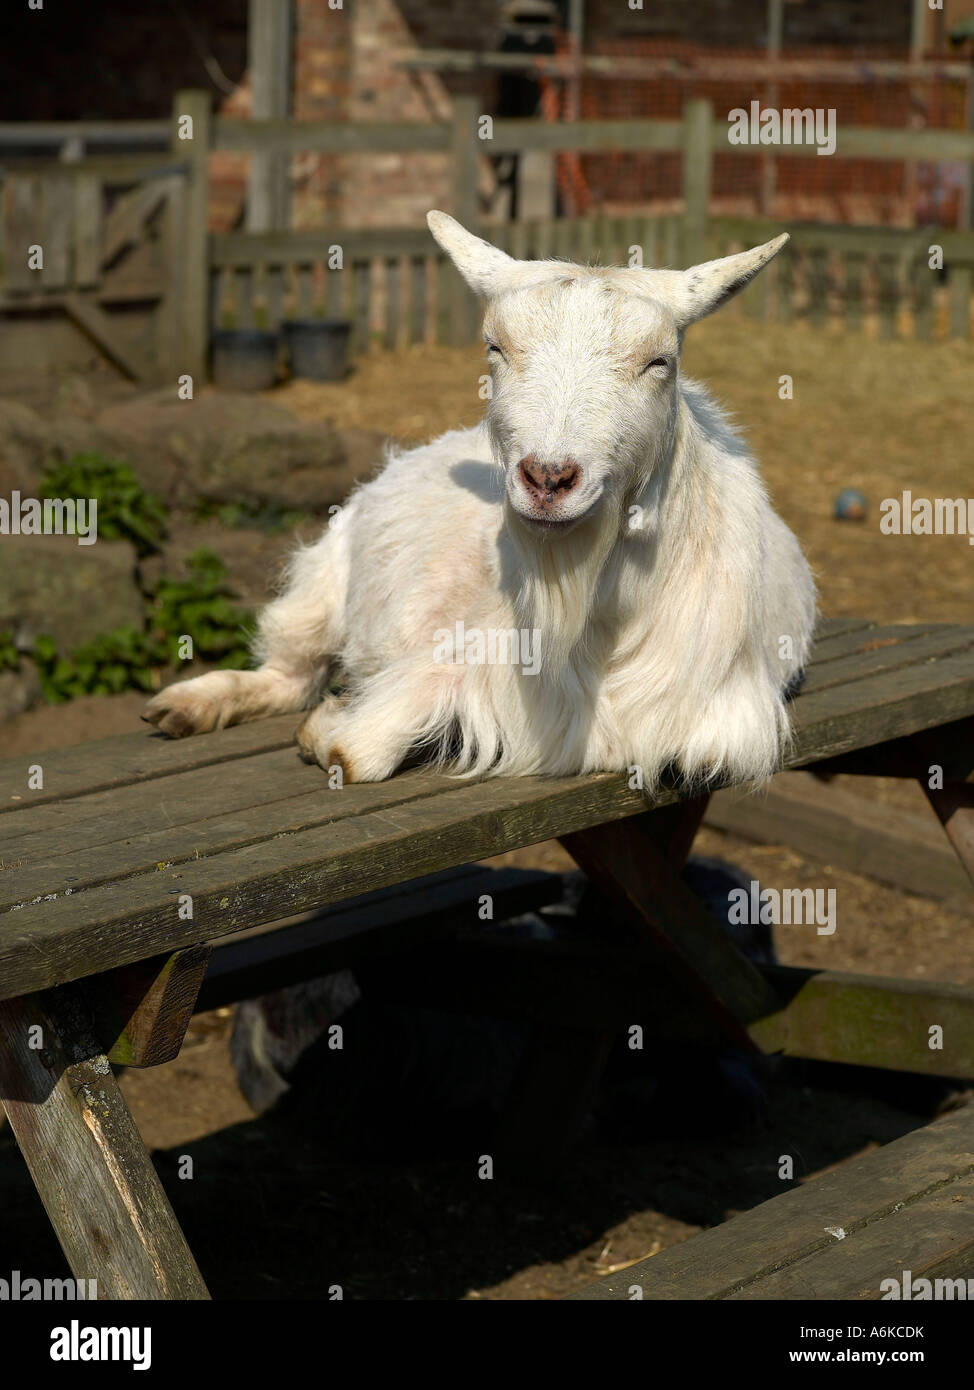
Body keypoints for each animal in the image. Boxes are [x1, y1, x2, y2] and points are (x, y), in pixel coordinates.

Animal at [144, 212, 816, 789]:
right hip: (319, 584)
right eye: (495, 347)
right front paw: (329, 724)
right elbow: (354, 749)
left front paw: (329, 721)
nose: (548, 477)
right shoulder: (458, 652)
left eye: (661, 361)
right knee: (288, 670)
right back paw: (190, 704)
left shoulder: (721, 720)